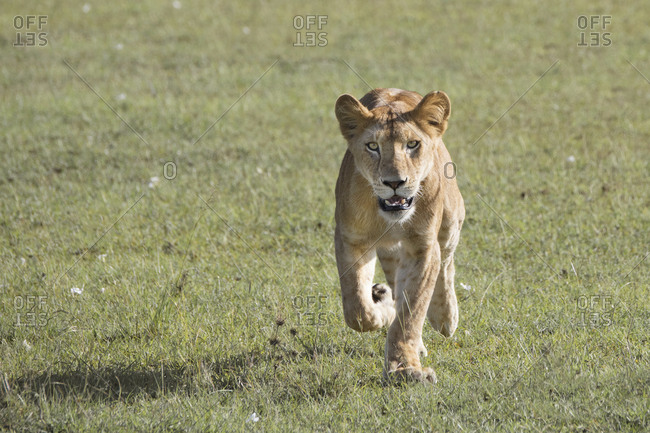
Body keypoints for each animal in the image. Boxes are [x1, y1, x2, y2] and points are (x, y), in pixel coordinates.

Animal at [334, 88, 465, 384]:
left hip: (452, 217)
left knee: (447, 263)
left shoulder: (422, 246)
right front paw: (381, 308)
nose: (394, 183)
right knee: (394, 283)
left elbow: (412, 310)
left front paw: (405, 368)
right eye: (373, 146)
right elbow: (358, 309)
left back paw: (446, 317)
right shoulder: (351, 239)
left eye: (412, 144)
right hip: (391, 252)